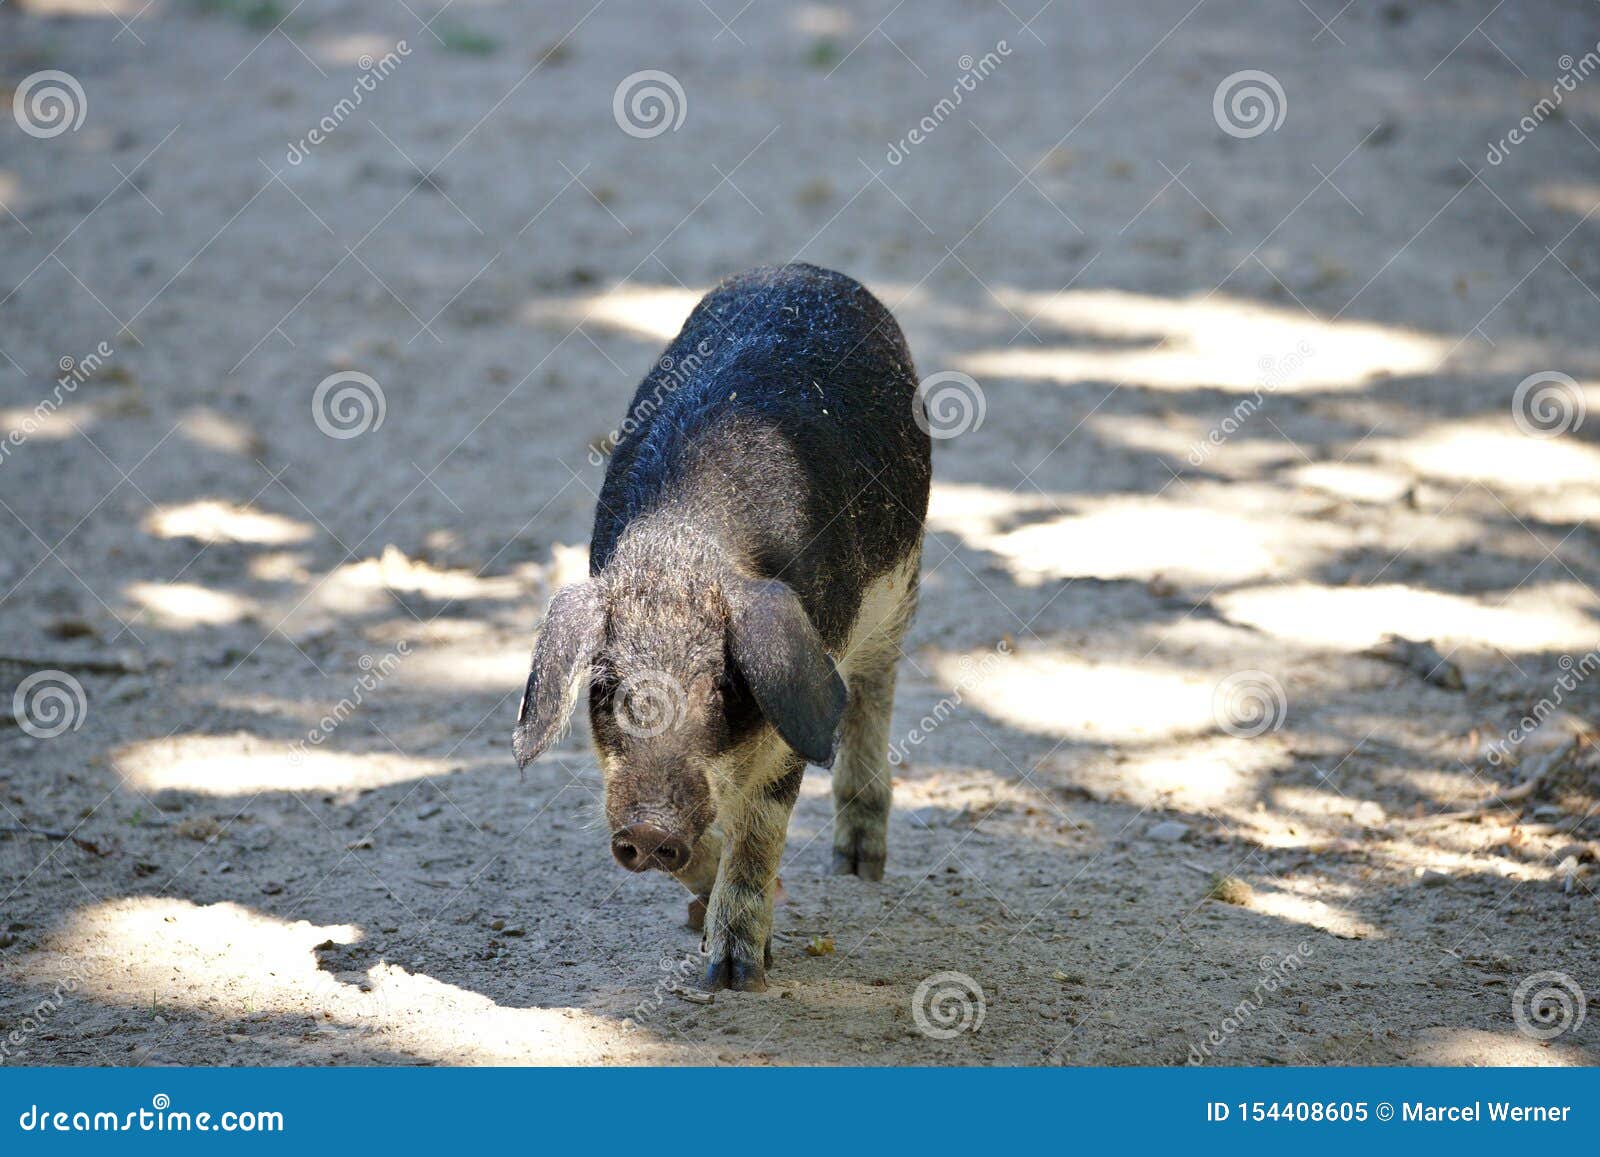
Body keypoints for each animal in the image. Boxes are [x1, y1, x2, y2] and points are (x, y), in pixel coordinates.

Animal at [513, 263, 931, 991]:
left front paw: (735, 975)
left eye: (726, 688)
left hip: (900, 590)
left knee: (874, 690)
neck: (683, 550)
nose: (651, 830)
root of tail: (804, 269)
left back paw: (857, 868)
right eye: (607, 690)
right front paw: (703, 921)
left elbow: (760, 825)